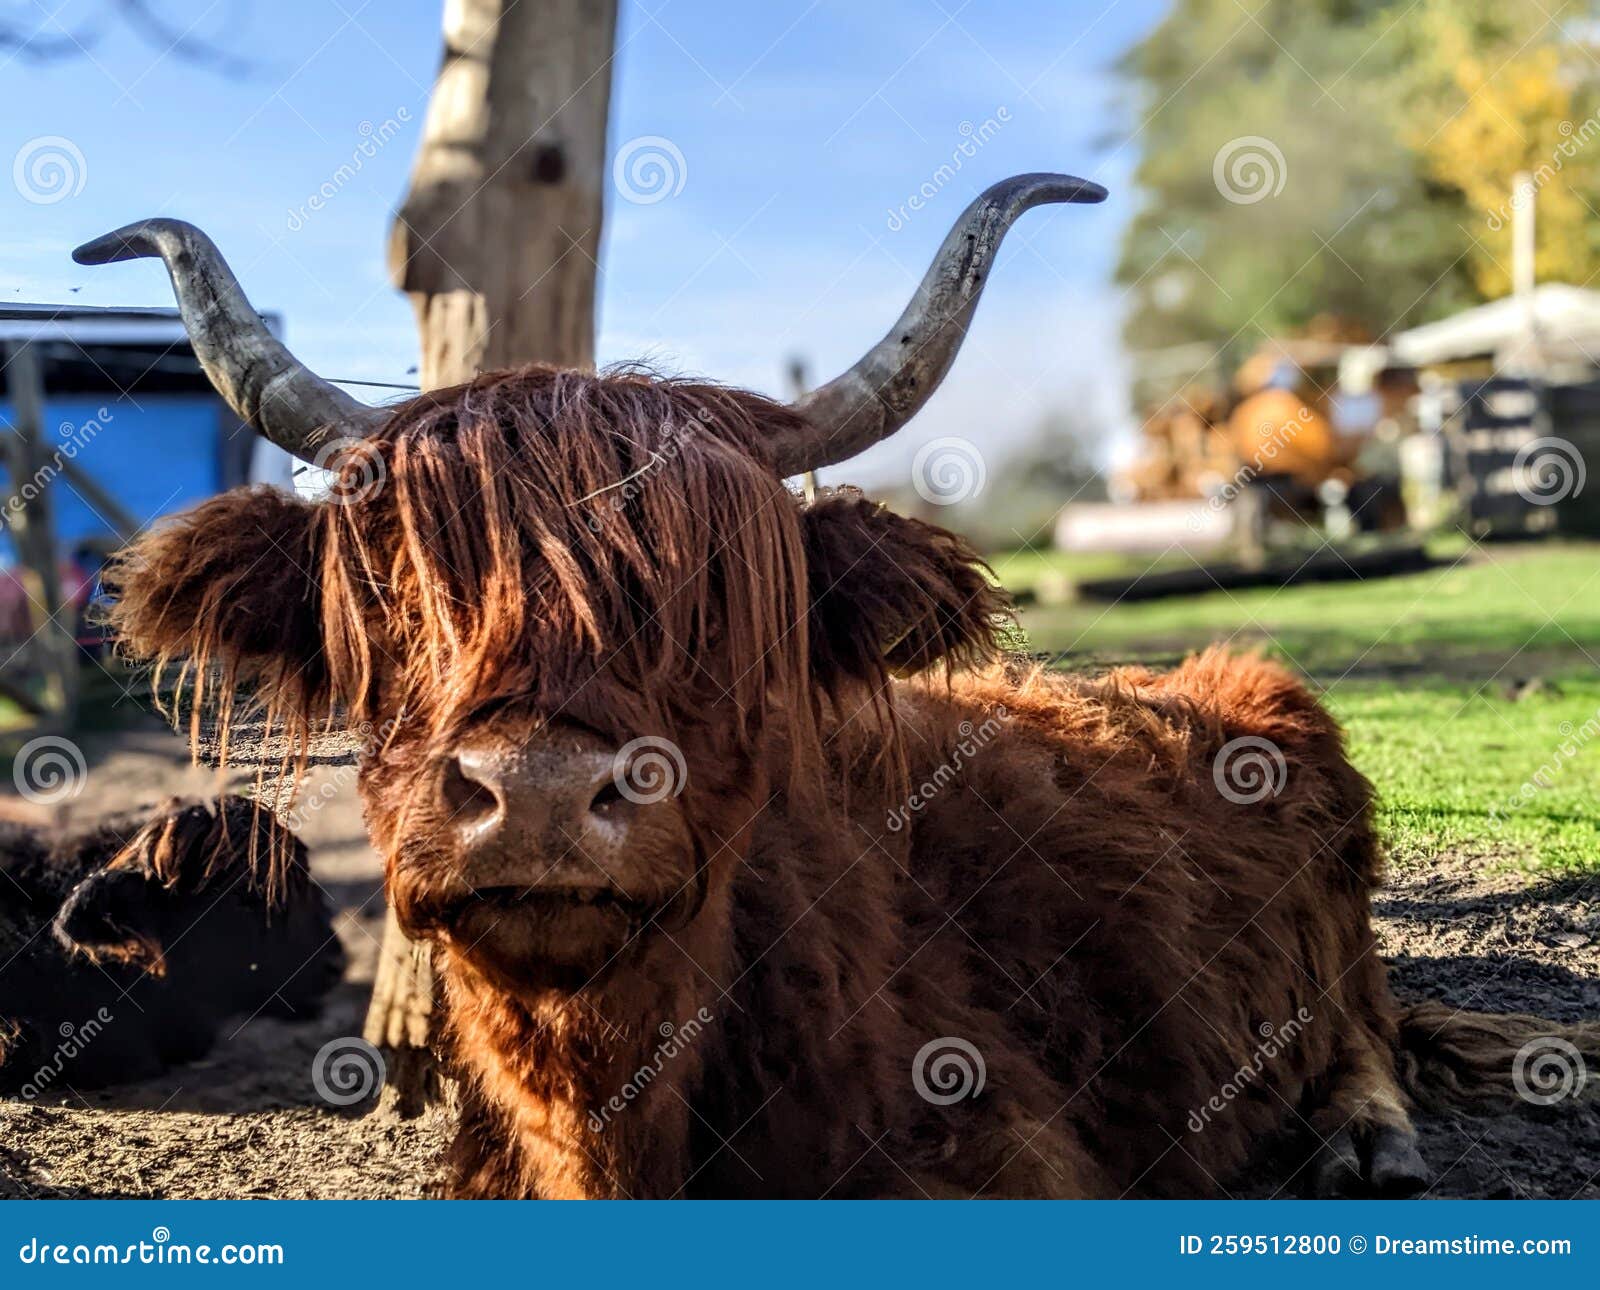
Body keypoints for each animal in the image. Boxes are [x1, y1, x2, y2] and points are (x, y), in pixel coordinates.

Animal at [75, 174, 1598, 1197]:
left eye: (716, 600)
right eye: (393, 587)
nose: (543, 794)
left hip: (1337, 921)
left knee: (1363, 1028)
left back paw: (1366, 1142)